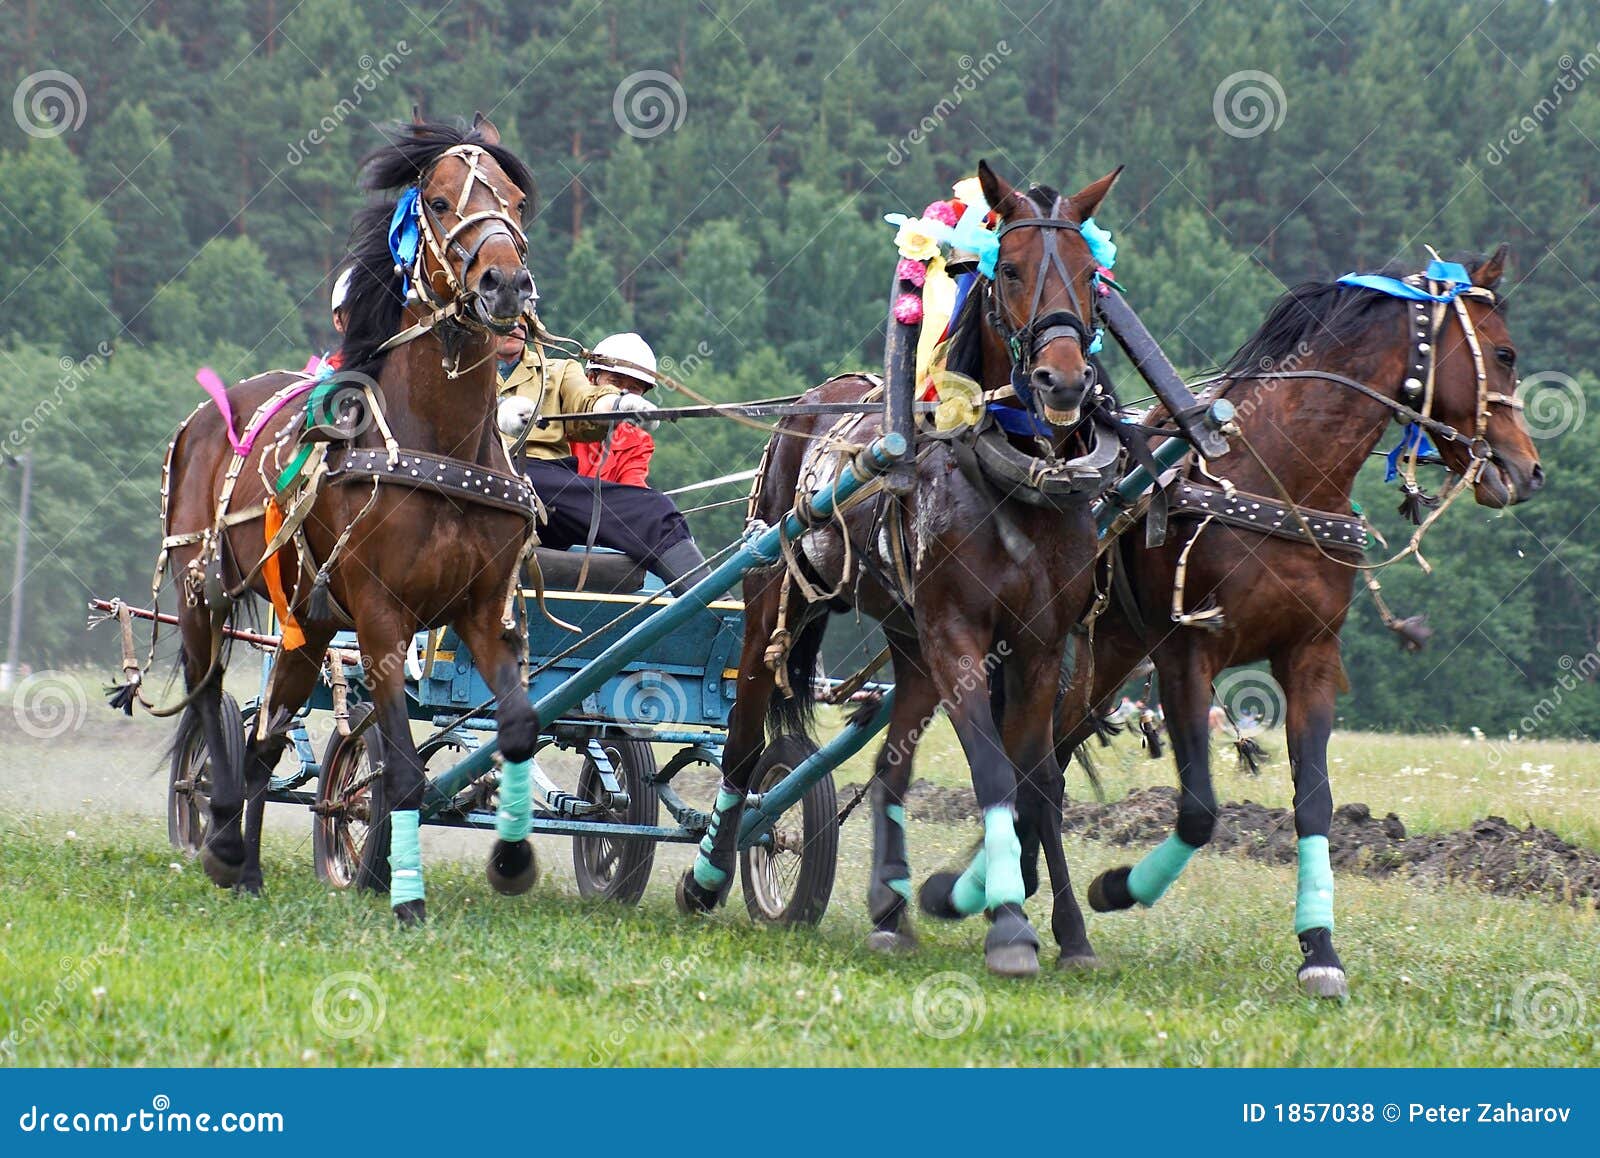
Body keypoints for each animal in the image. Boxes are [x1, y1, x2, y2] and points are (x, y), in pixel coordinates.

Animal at [150, 116, 547, 925]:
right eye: (437, 200)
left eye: (517, 200)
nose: (504, 282)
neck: (438, 442)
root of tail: (204, 416)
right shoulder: (383, 619)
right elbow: (401, 771)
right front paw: (406, 900)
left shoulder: (480, 612)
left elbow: (520, 728)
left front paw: (512, 859)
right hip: (204, 590)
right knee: (210, 698)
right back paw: (222, 837)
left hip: (306, 627)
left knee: (267, 744)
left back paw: (249, 867)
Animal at [674, 160, 1125, 976]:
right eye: (1010, 269)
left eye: (1090, 275)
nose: (1065, 382)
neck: (1018, 486)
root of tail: (810, 402)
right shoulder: (959, 638)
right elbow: (992, 769)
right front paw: (1010, 927)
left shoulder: (1041, 644)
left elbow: (1039, 781)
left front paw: (1070, 932)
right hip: (774, 602)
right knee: (744, 741)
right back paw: (709, 874)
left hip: (910, 646)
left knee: (889, 764)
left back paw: (888, 910)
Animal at [1051, 246, 1543, 996]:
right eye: (1505, 353)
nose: (1528, 469)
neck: (1280, 472)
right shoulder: (1185, 655)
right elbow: (1200, 810)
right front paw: (1118, 886)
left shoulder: (1310, 655)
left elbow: (1314, 803)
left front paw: (1320, 949)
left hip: (1099, 665)